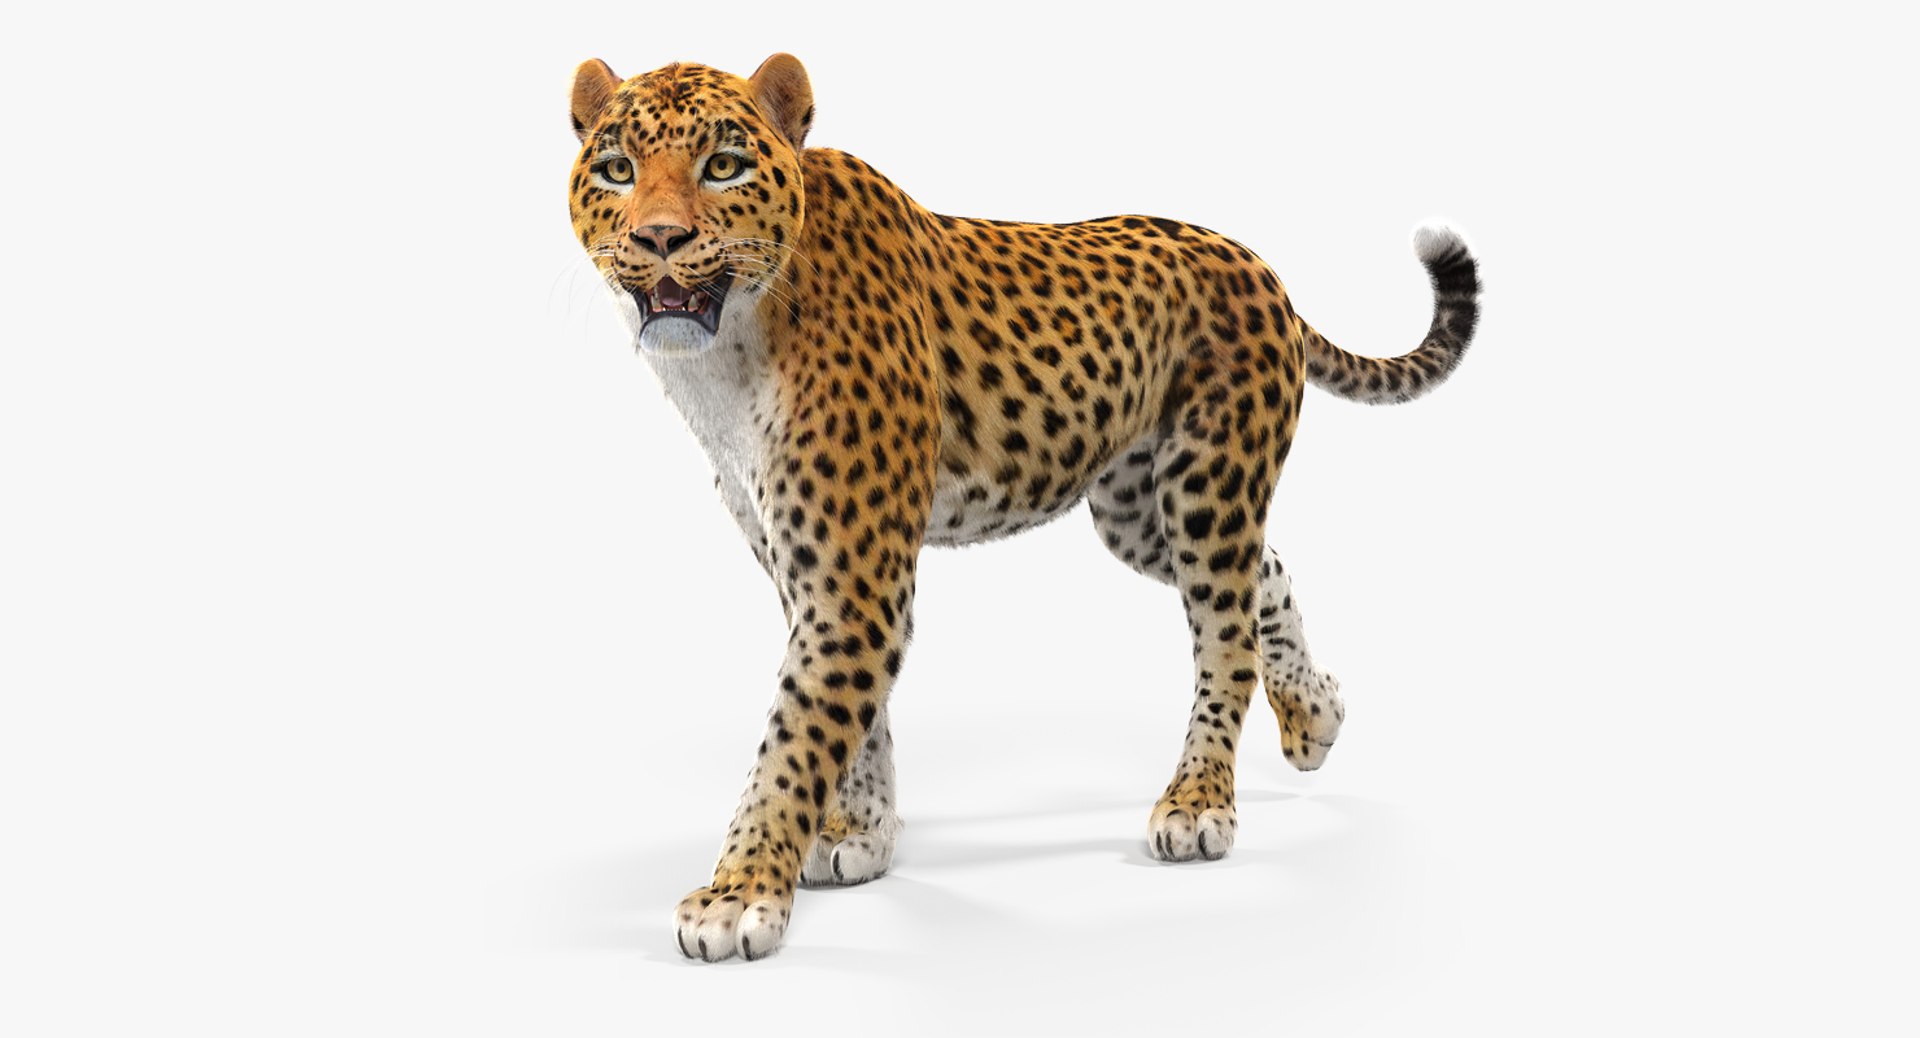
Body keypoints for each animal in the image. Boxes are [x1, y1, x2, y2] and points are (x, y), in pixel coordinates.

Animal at [563, 53, 1481, 961]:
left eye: (724, 166)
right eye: (618, 171)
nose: (659, 239)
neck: (726, 357)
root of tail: (1257, 264)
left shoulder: (853, 581)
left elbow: (796, 733)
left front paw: (739, 893)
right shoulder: (805, 566)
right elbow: (856, 717)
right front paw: (860, 834)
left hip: (1208, 485)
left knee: (1226, 638)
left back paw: (1198, 803)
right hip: (1137, 513)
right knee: (1268, 570)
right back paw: (1318, 712)